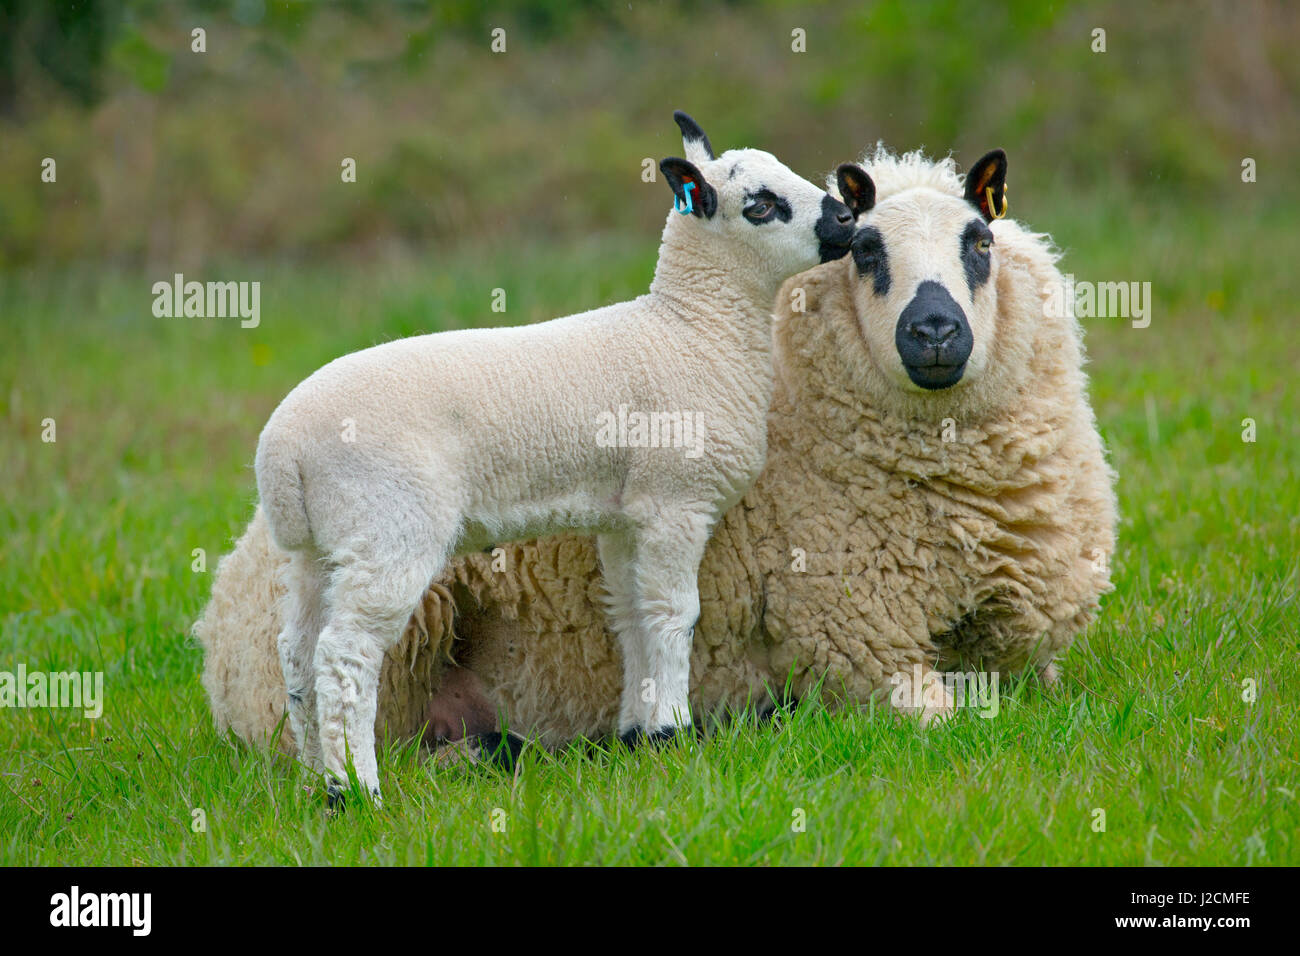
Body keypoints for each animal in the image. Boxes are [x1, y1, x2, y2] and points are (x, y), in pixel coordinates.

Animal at [250, 111, 858, 800]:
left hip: (319, 547)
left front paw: (638, 736)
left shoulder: (627, 514)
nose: (846, 219)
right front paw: (674, 734)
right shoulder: (675, 501)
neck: (691, 329)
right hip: (389, 526)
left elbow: (632, 617)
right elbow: (674, 616)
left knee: (298, 655)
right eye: (760, 204)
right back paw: (356, 793)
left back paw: (314, 781)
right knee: (344, 656)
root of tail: (283, 450)